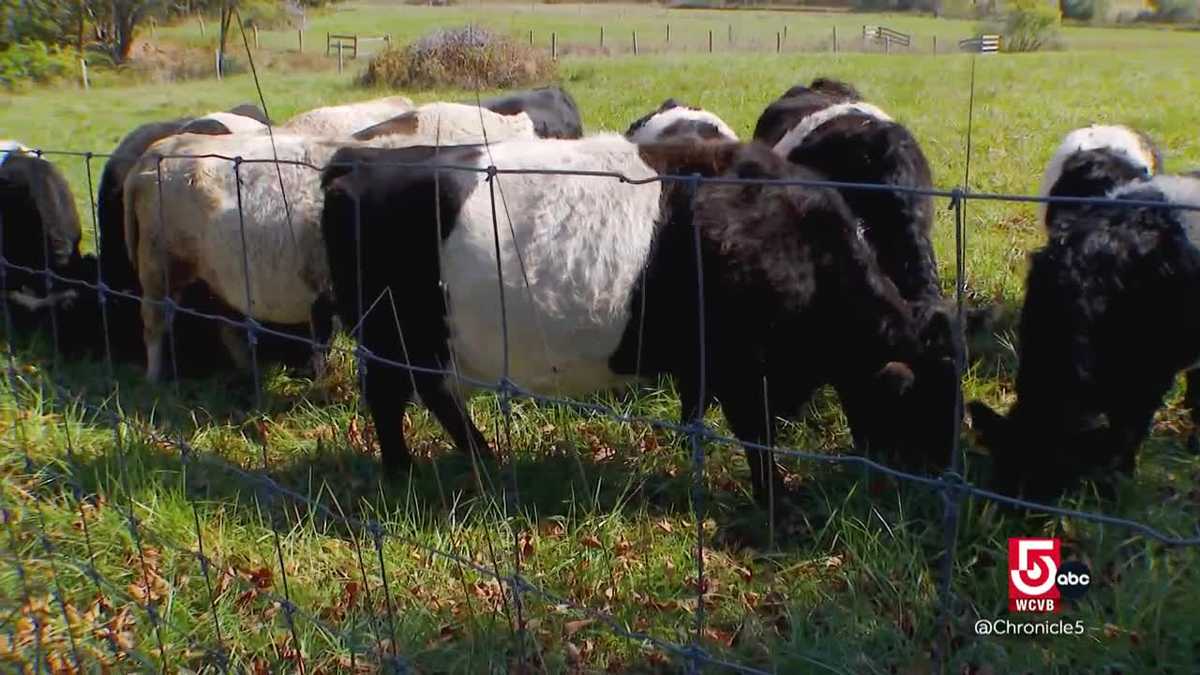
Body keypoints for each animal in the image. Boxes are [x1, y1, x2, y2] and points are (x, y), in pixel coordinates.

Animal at [124, 103, 538, 383]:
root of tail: (159, 151)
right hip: (159, 266)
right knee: (154, 322)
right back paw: (156, 380)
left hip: (216, 275)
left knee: (227, 326)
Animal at [318, 135, 961, 516]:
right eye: (923, 405)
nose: (941, 478)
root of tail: (359, 161)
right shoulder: (742, 368)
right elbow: (756, 436)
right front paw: (777, 502)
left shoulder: (711, 368)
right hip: (393, 332)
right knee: (393, 397)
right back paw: (405, 471)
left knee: (429, 395)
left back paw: (481, 461)